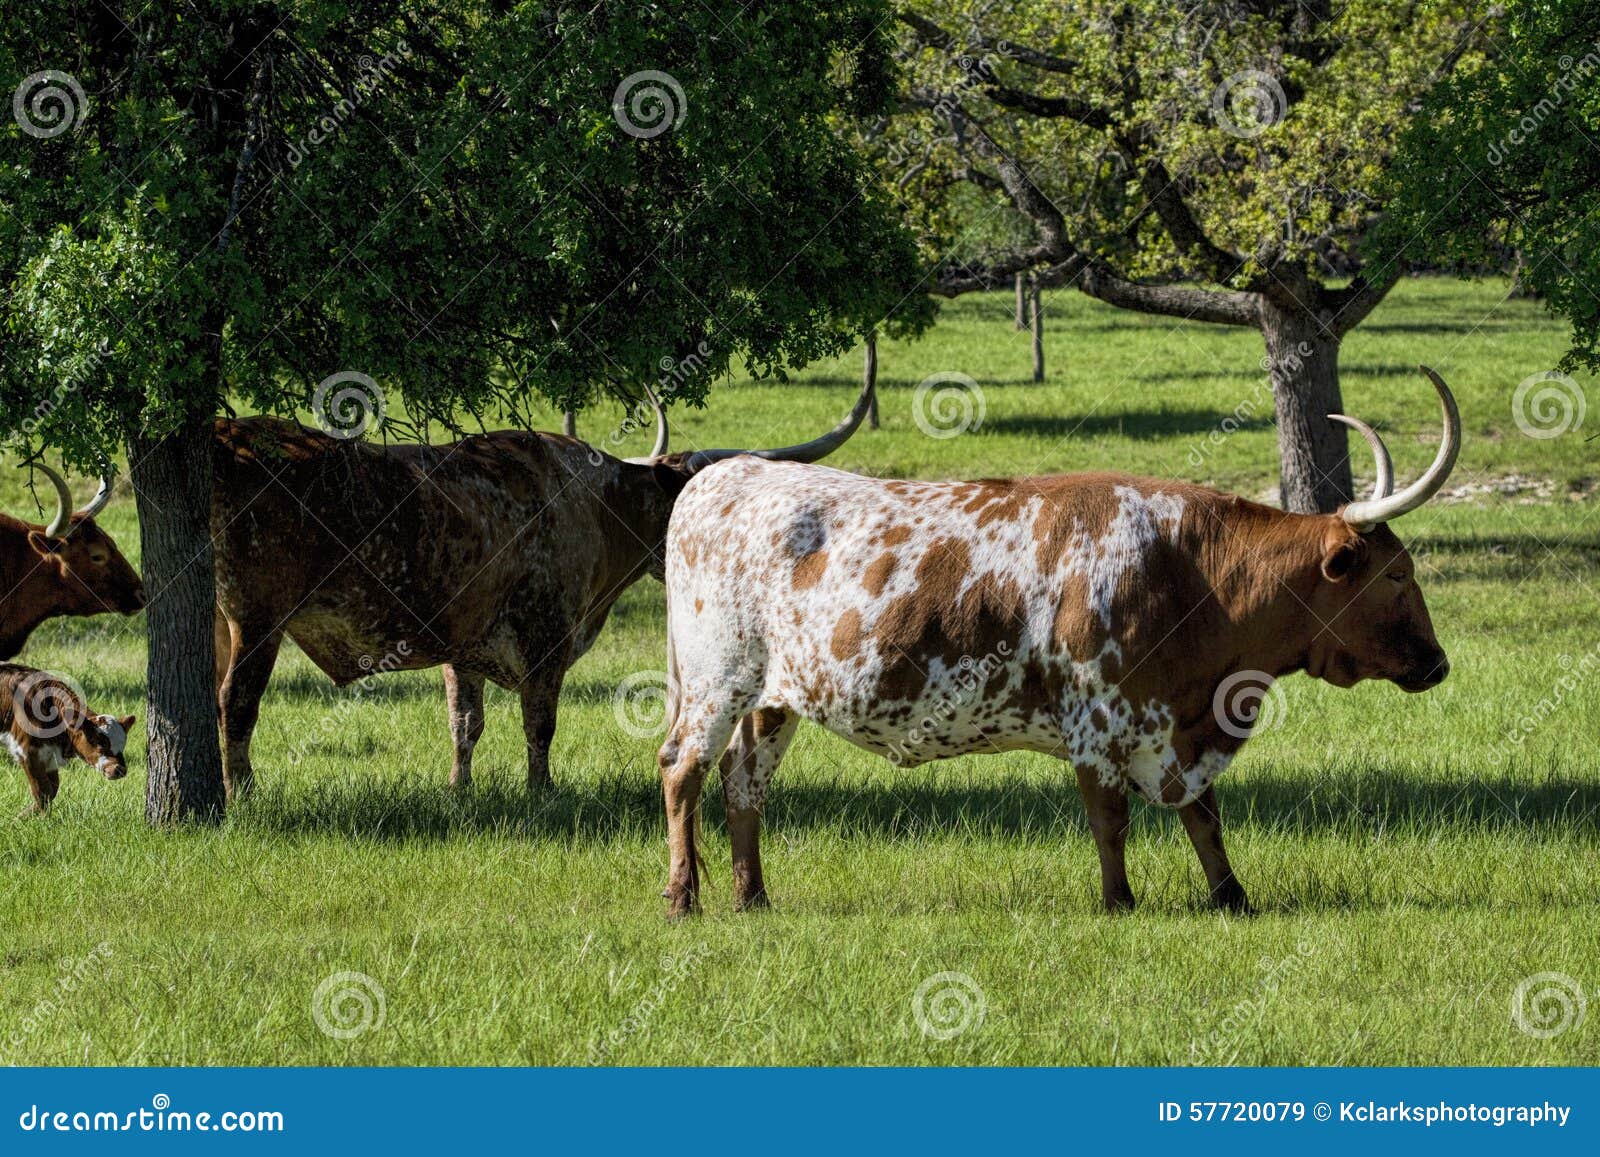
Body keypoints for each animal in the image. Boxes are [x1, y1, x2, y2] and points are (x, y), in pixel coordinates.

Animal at [210, 384, 876, 803]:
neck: (598, 504)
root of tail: (229, 435)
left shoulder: (462, 646)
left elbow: (464, 723)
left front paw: (459, 789)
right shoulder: (547, 634)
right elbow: (540, 720)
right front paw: (542, 791)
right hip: (258, 619)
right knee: (235, 703)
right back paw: (242, 795)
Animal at [656, 367, 1461, 916]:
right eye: (1396, 574)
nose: (1439, 663)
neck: (1189, 570)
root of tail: (720, 476)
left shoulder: (1175, 729)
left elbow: (1204, 816)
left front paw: (1233, 896)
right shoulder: (1098, 724)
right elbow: (1111, 819)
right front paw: (1120, 903)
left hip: (775, 698)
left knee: (744, 783)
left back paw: (754, 898)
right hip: (716, 681)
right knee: (683, 770)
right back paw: (683, 898)